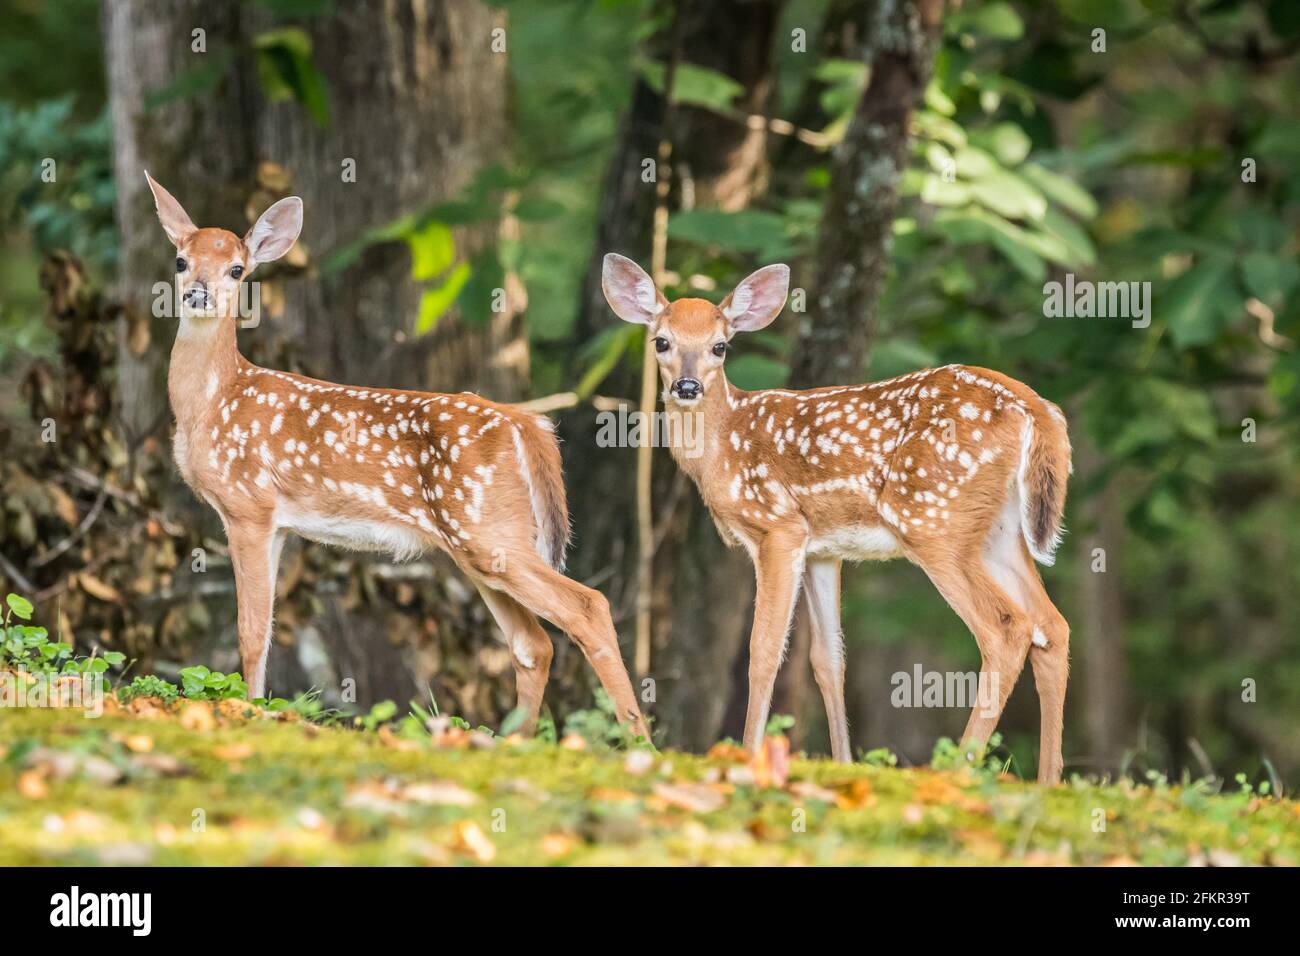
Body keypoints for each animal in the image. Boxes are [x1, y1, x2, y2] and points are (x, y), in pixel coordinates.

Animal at [141, 172, 650, 742]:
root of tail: (528, 425)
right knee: (533, 644)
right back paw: (516, 741)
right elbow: (267, 627)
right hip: (484, 541)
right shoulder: (277, 524)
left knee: (588, 606)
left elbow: (249, 630)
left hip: (485, 529)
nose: (198, 293)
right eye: (180, 261)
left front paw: (251, 712)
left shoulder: (246, 504)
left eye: (237, 268)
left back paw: (641, 743)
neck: (214, 401)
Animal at [602, 254, 1072, 782]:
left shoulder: (777, 526)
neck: (722, 445)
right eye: (661, 341)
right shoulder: (822, 550)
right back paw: (1048, 781)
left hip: (934, 519)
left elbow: (763, 652)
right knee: (1052, 626)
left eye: (720, 346)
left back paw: (956, 768)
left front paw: (747, 755)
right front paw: (844, 762)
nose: (687, 386)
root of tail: (1038, 410)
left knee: (1007, 628)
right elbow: (828, 660)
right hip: (998, 531)